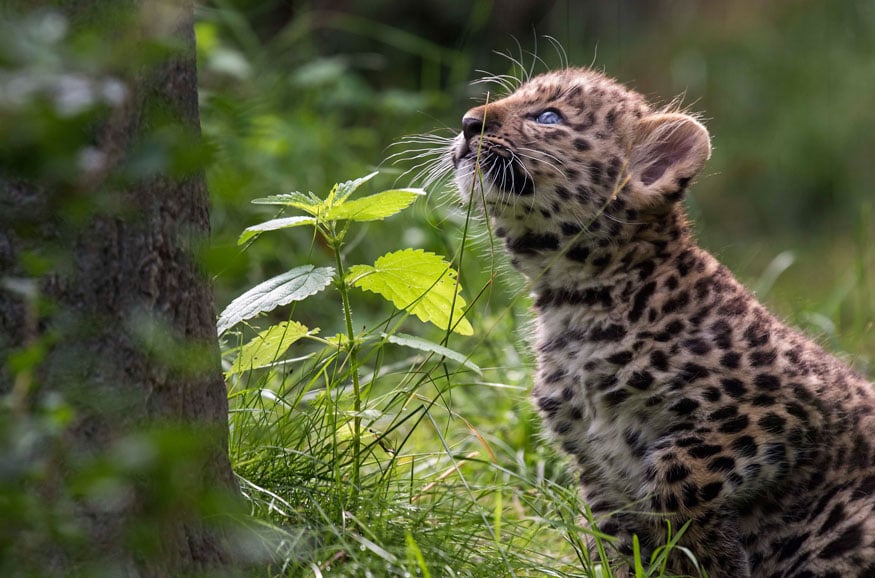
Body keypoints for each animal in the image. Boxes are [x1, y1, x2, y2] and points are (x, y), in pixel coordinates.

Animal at [444, 67, 875, 577]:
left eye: (548, 117)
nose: (468, 123)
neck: (575, 304)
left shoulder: (786, 407)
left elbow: (675, 475)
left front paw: (709, 557)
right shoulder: (593, 462)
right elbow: (613, 538)